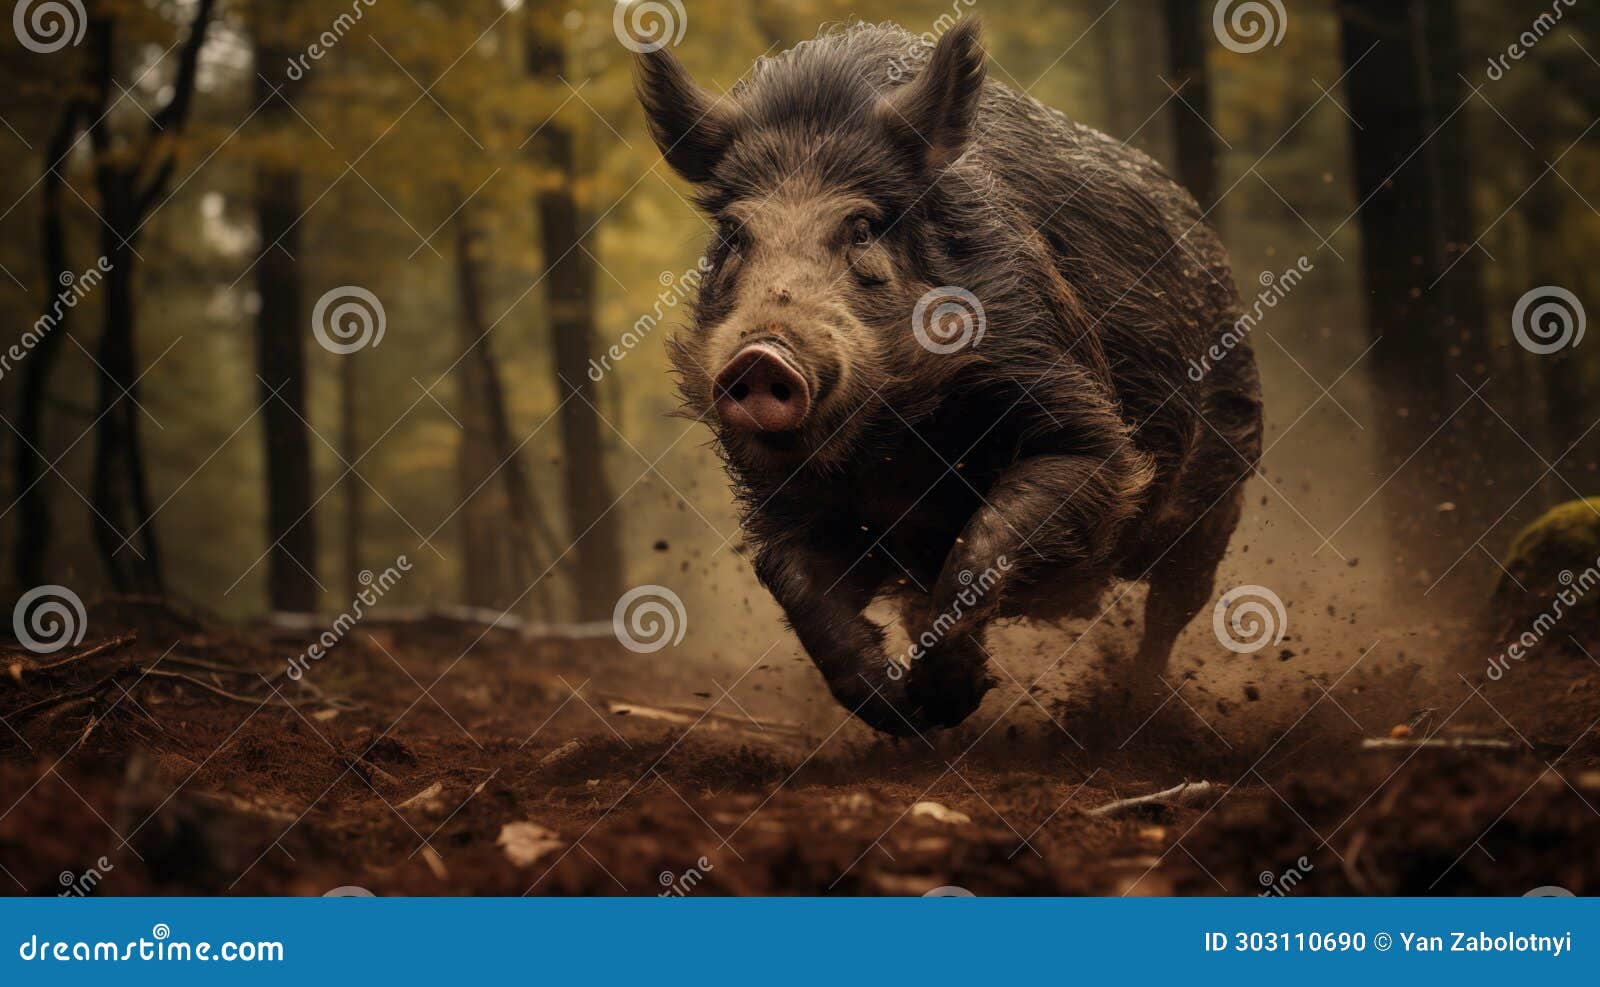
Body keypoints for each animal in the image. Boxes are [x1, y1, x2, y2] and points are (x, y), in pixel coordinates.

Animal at [634, 20, 1263, 736]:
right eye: (735, 232)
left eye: (862, 227)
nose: (763, 355)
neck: (895, 442)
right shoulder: (780, 502)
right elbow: (802, 594)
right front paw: (906, 713)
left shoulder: (1078, 421)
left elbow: (989, 535)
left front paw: (949, 698)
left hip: (1226, 477)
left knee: (1172, 606)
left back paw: (1132, 707)